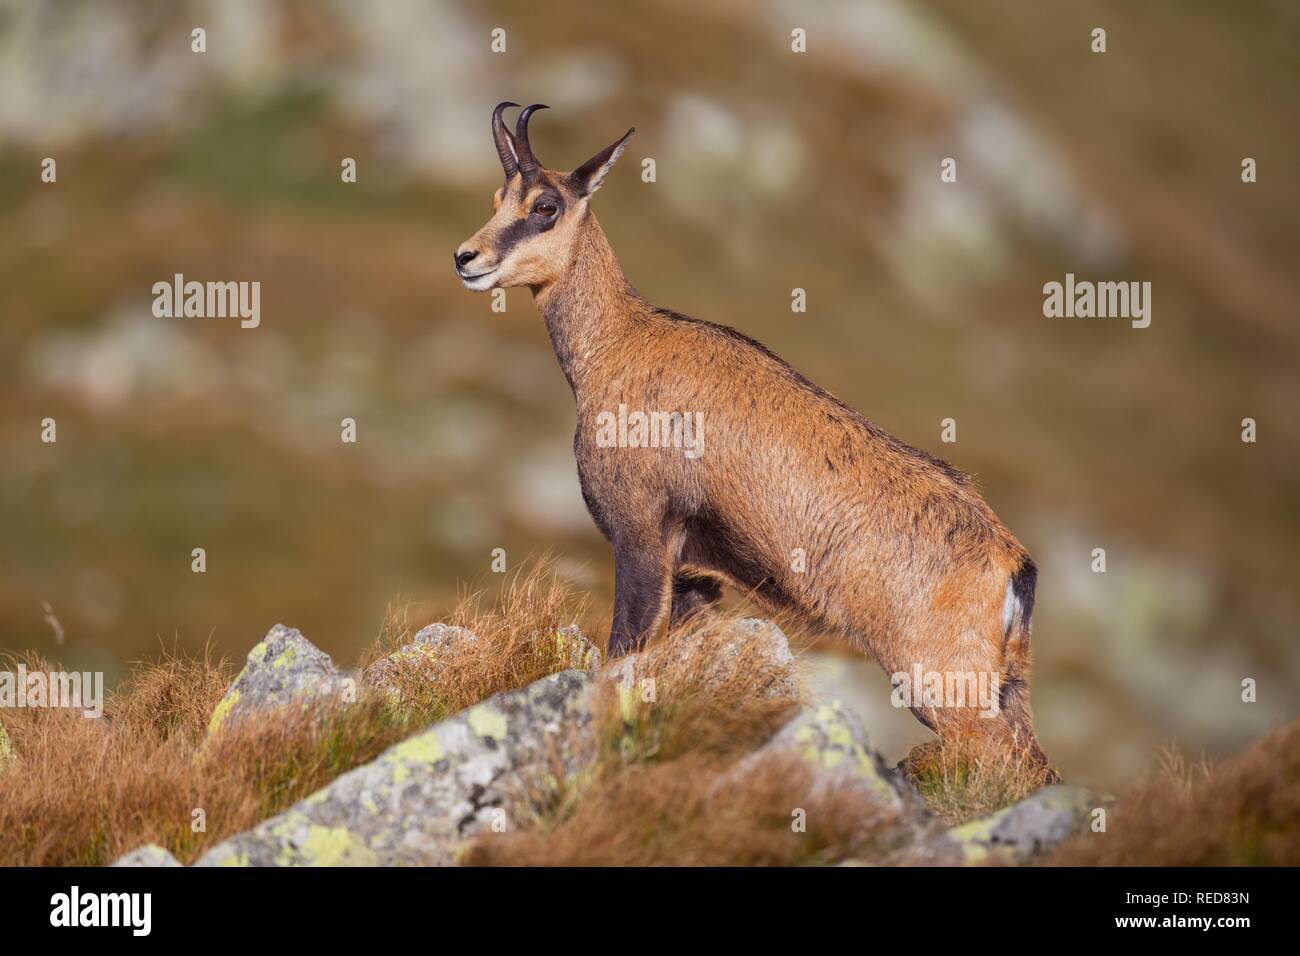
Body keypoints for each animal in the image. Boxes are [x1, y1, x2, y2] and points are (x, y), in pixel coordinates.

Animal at [455, 103, 1051, 769]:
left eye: (545, 206)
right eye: (498, 197)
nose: (466, 257)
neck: (616, 344)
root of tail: (1014, 565)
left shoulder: (640, 537)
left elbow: (624, 650)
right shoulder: (697, 574)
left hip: (941, 676)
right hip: (1004, 682)